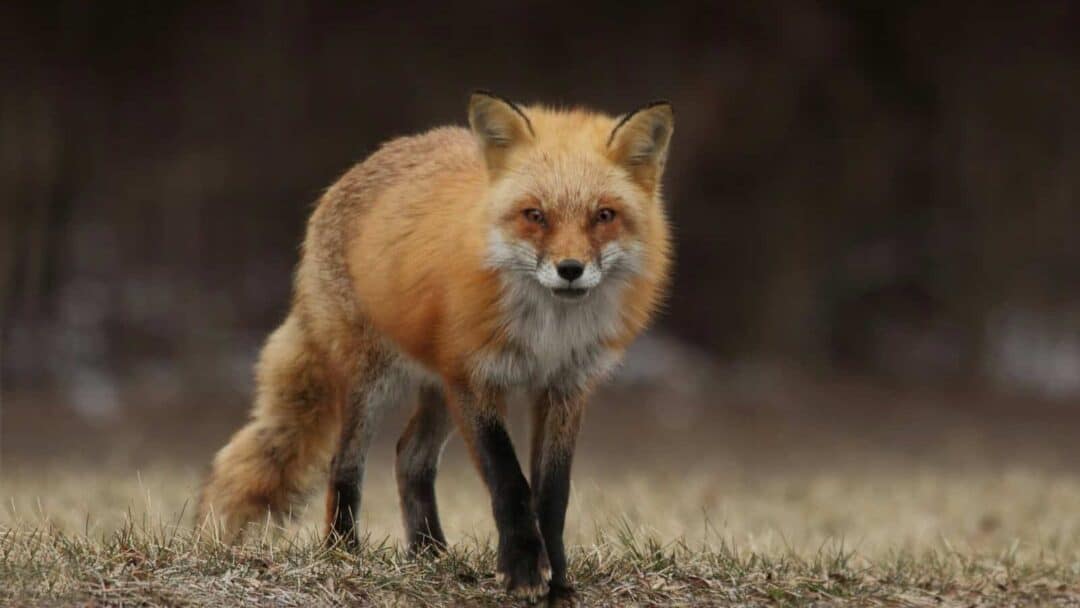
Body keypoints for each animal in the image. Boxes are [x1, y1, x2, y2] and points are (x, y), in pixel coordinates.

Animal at [196, 91, 674, 604]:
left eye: (604, 216)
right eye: (535, 215)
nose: (570, 269)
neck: (547, 333)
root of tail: (359, 167)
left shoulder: (565, 388)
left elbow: (552, 494)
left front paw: (559, 582)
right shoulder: (476, 379)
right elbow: (509, 481)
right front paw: (524, 570)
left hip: (440, 390)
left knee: (410, 457)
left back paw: (430, 554)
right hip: (375, 381)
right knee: (344, 465)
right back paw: (344, 552)